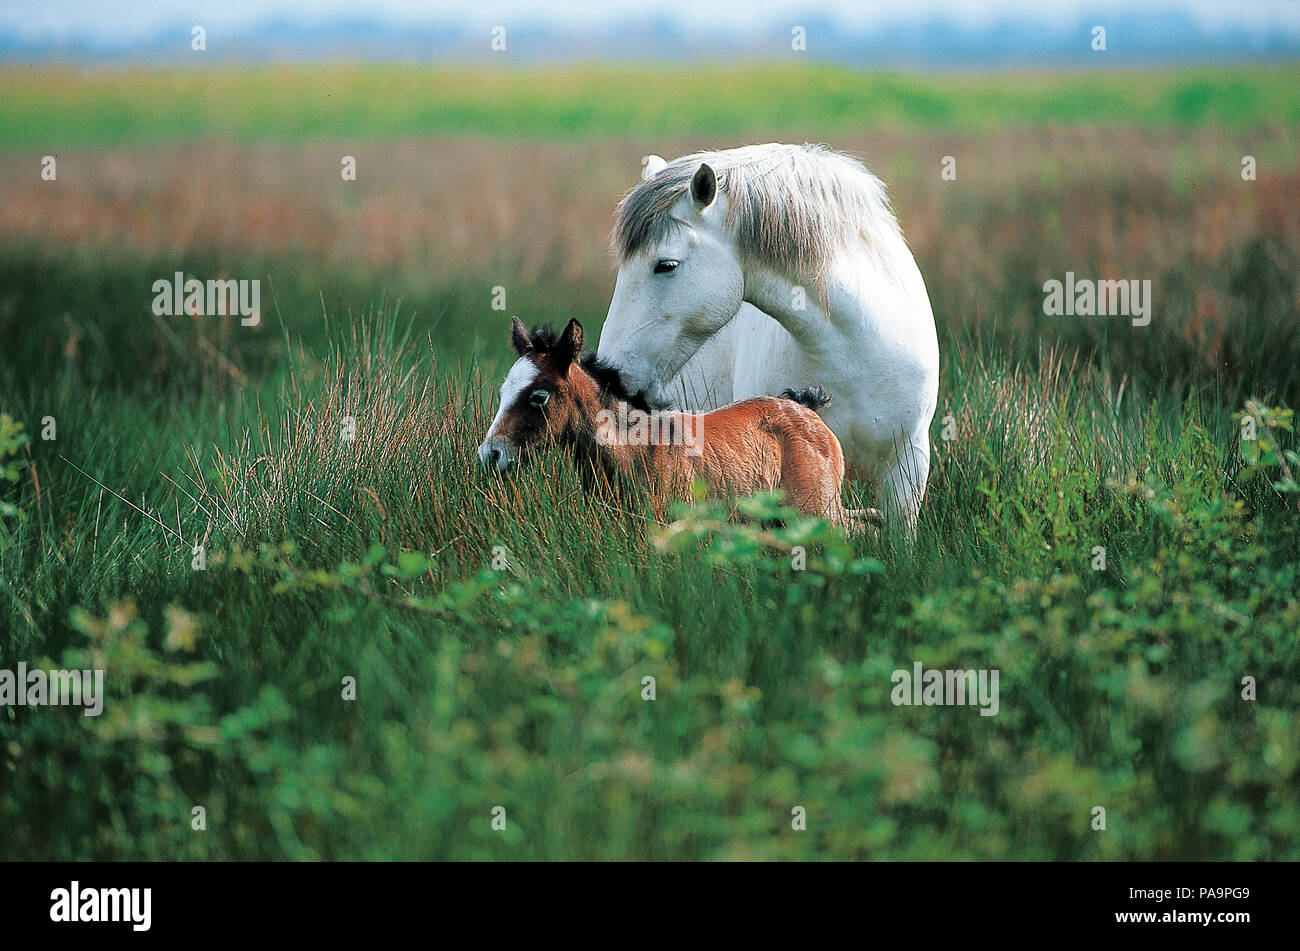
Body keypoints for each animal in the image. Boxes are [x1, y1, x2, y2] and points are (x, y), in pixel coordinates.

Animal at [477, 316, 871, 532]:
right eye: (502, 390)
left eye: (538, 396)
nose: (490, 454)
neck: (634, 449)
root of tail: (804, 408)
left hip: (816, 511)